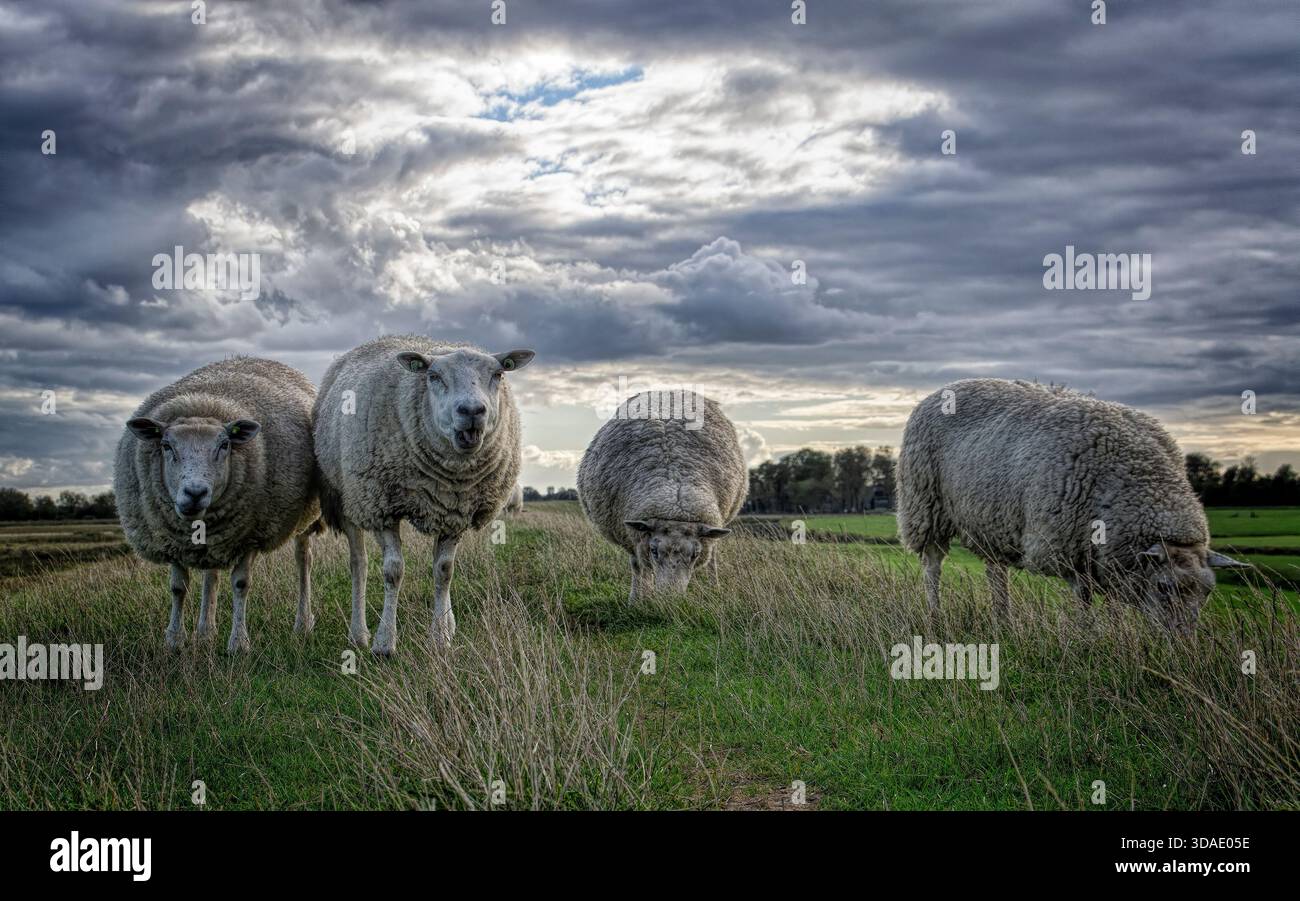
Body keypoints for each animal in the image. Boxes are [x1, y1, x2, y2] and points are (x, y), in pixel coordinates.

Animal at [113, 358, 321, 653]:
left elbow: (241, 583)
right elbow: (178, 588)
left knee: (303, 561)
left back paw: (302, 624)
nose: (195, 493)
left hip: (306, 517)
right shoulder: (171, 541)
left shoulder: (251, 536)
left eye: (224, 445)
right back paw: (205, 632)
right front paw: (175, 640)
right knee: (211, 575)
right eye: (166, 446)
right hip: (213, 540)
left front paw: (239, 643)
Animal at [312, 335, 535, 655]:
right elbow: (393, 571)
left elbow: (444, 570)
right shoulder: (381, 507)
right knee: (359, 563)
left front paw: (440, 637)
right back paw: (359, 634)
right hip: (349, 498)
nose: (471, 411)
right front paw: (384, 643)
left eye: (498, 374)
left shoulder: (456, 513)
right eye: (433, 376)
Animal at [577, 390, 747, 599]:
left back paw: (713, 586)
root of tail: (669, 391)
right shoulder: (633, 536)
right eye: (654, 551)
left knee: (713, 556)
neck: (674, 496)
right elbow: (638, 566)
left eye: (695, 555)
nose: (670, 598)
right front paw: (637, 599)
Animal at [896, 378, 1247, 633]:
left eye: (1208, 591)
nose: (1184, 642)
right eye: (1163, 587)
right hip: (925, 505)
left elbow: (1113, 601)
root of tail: (940, 391)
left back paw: (1003, 621)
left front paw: (1116, 633)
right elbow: (1085, 597)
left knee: (996, 570)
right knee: (932, 565)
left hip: (990, 518)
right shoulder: (1067, 546)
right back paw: (935, 615)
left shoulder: (1105, 555)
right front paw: (1088, 635)